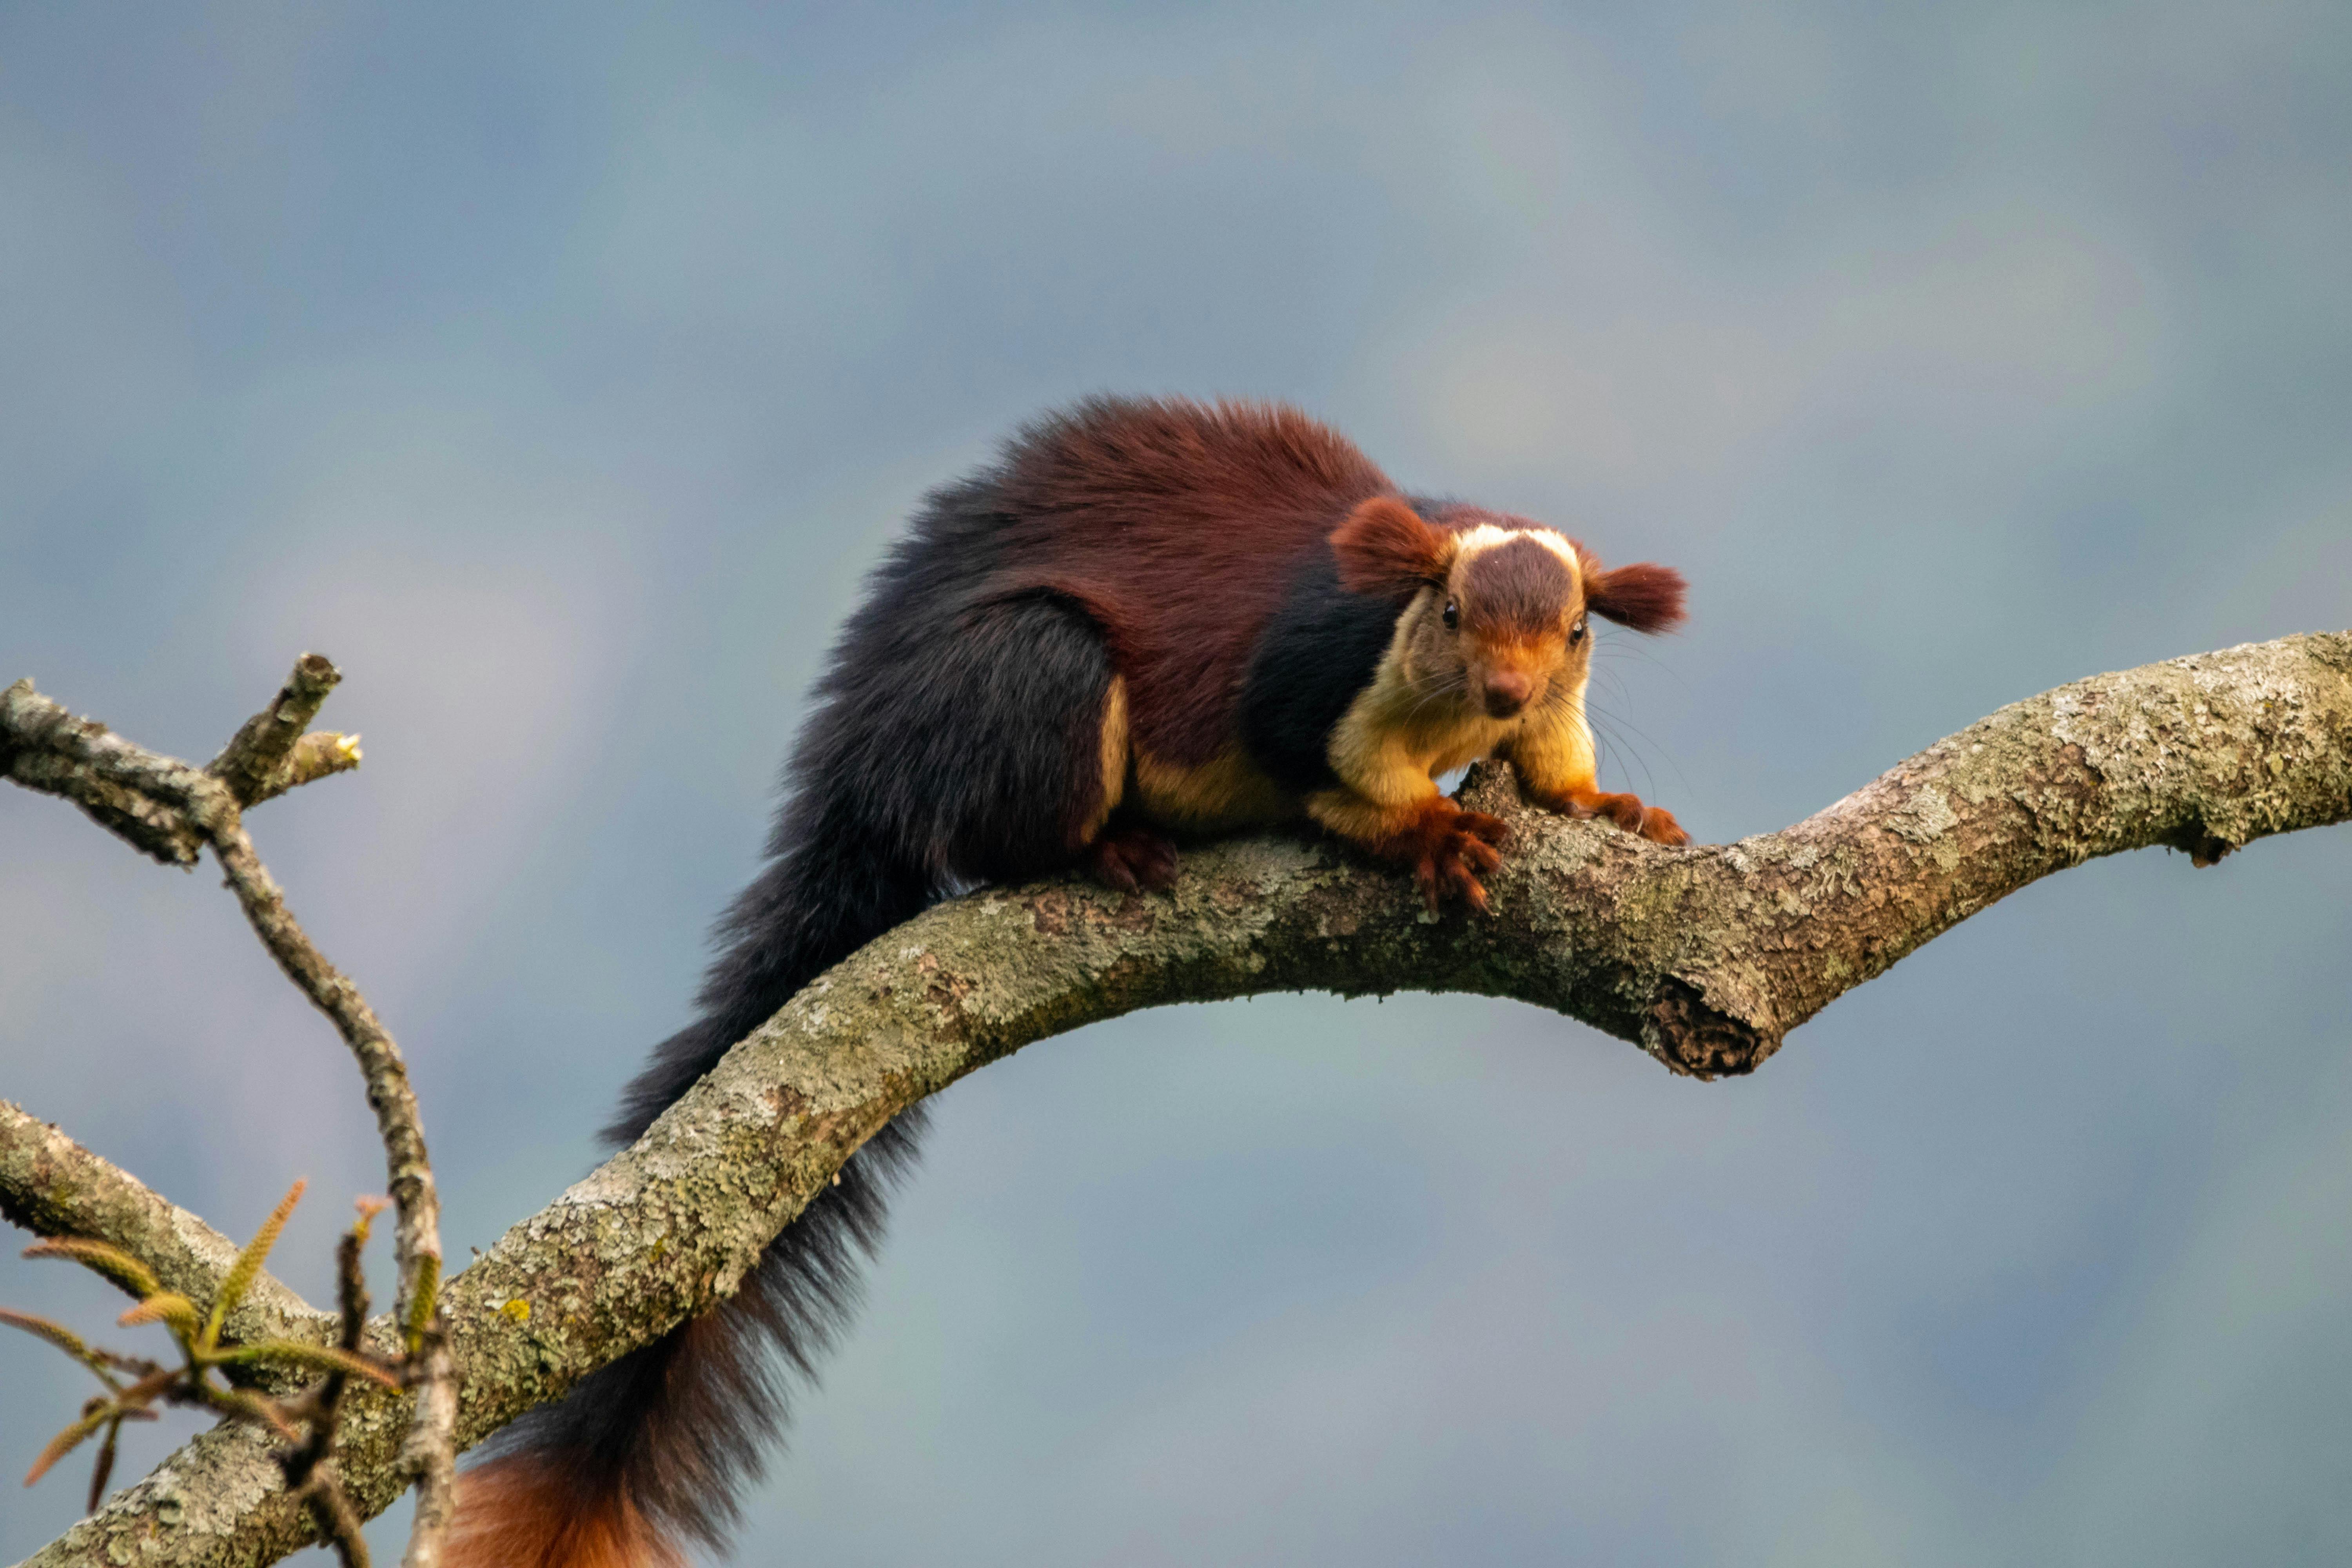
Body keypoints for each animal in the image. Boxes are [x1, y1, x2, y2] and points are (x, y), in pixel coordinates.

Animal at [445, 396, 1688, 1568]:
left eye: (1576, 629)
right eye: (1451, 613)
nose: (1506, 689)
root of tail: (862, 765)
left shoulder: (1546, 713)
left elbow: (1555, 769)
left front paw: (1613, 808)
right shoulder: (1307, 679)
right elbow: (1321, 770)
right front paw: (1431, 834)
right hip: (1030, 677)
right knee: (1004, 827)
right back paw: (1109, 849)